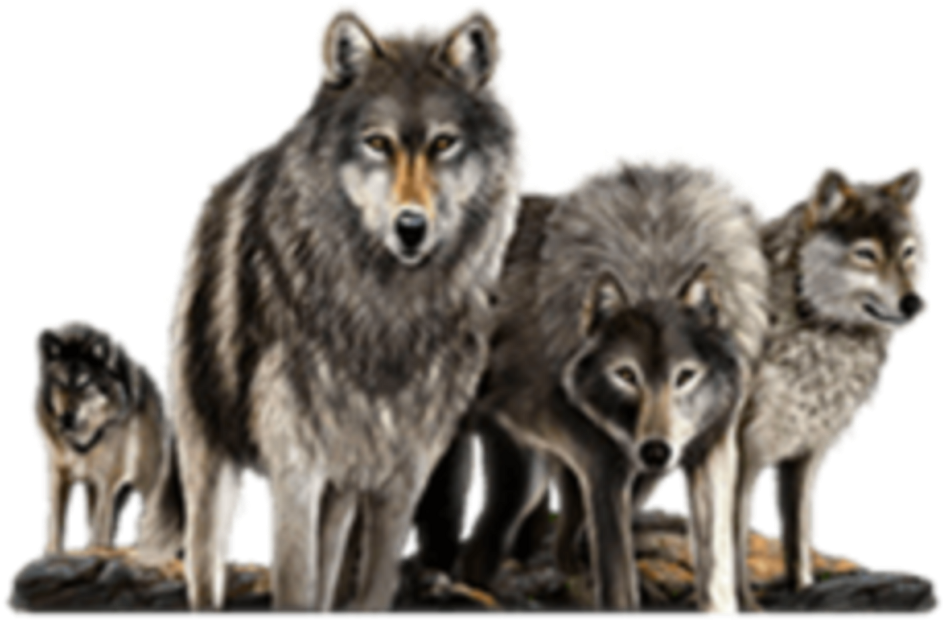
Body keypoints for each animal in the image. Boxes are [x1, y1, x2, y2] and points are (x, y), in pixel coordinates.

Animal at [30, 317, 182, 559]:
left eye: (84, 385)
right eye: (62, 383)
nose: (66, 419)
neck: (82, 441)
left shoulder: (106, 482)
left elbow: (101, 529)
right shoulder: (58, 474)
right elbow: (55, 527)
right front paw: (51, 556)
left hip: (147, 483)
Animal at [161, 1, 530, 617]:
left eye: (443, 144)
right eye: (378, 143)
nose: (411, 227)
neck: (384, 312)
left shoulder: (404, 471)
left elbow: (373, 583)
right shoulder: (296, 468)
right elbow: (294, 585)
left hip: (342, 486)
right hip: (210, 456)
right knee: (207, 562)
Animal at [419, 150, 768, 618]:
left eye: (684, 376)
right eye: (625, 374)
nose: (655, 450)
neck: (654, 254)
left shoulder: (706, 451)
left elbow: (716, 573)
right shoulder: (599, 459)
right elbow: (616, 574)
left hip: (529, 478)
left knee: (487, 549)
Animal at [735, 161, 930, 615]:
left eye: (907, 252)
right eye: (866, 254)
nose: (913, 302)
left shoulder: (804, 454)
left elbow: (798, 535)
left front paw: (803, 593)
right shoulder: (743, 455)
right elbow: (728, 542)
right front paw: (742, 606)